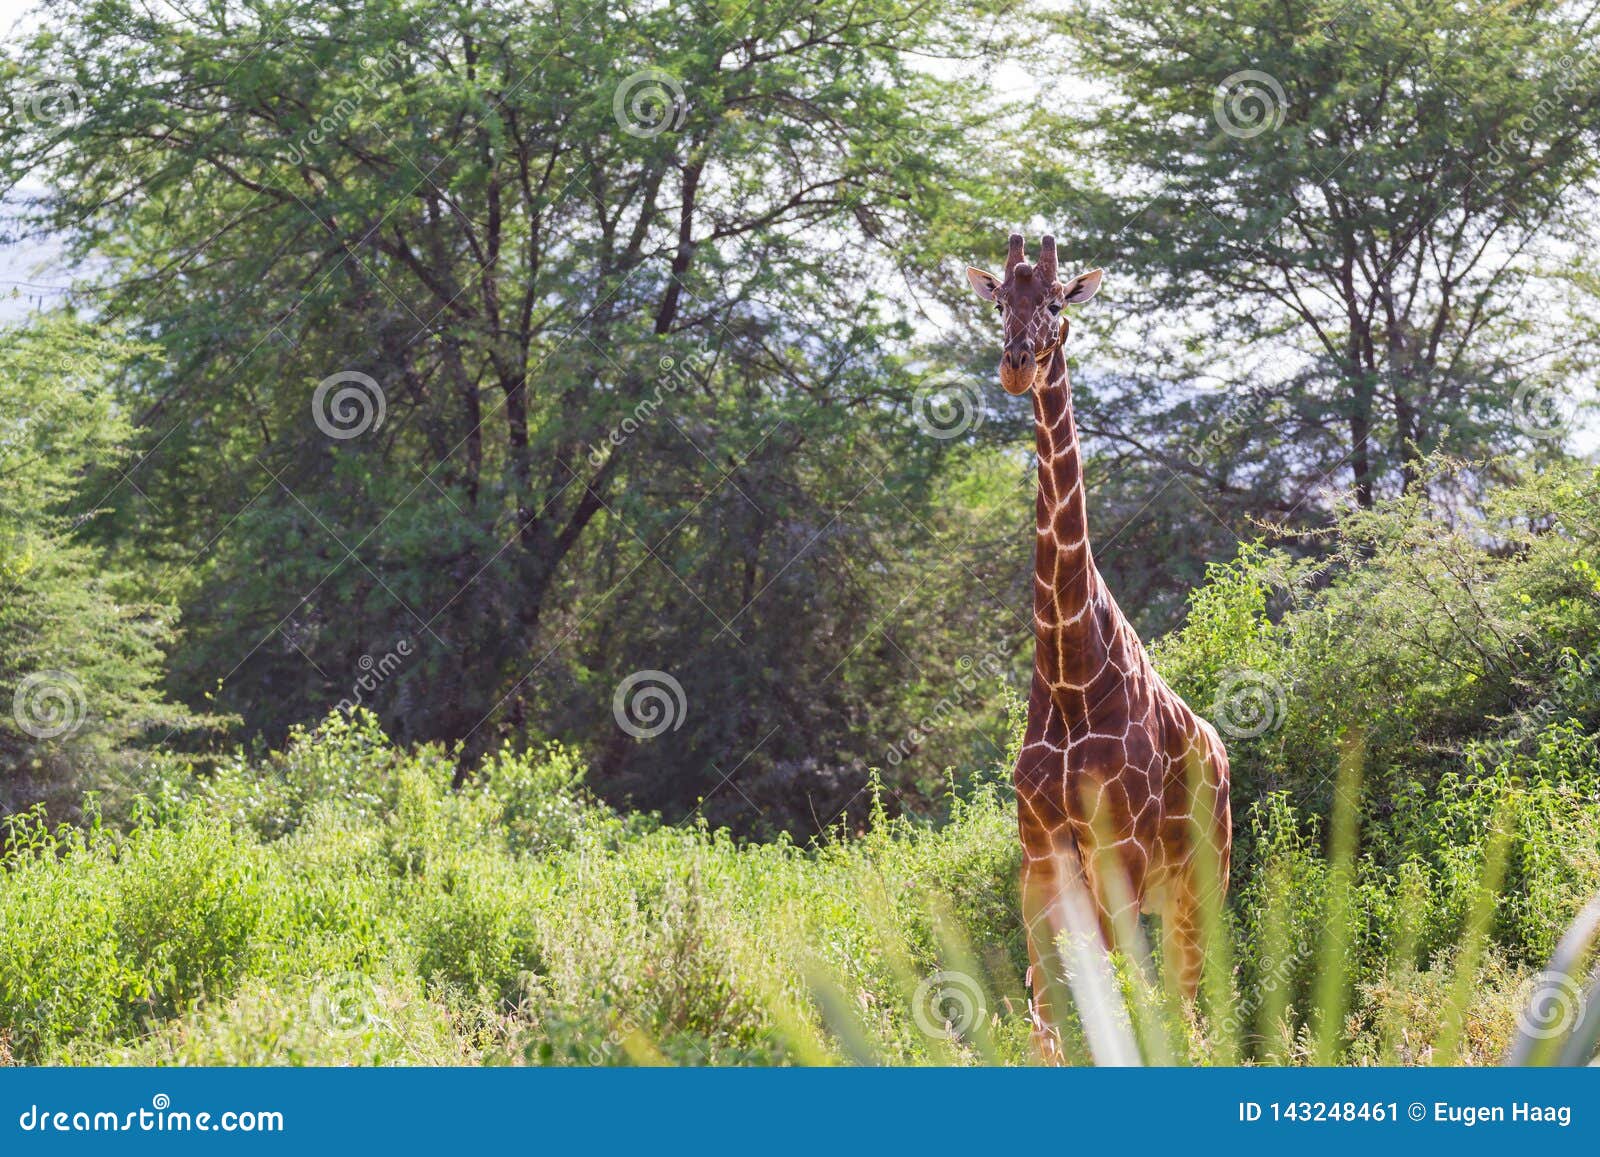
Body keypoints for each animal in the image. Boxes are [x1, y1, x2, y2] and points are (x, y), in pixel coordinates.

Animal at [965, 233, 1232, 1056]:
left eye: (1056, 302)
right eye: (999, 300)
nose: (1017, 364)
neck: (1068, 671)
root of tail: (1222, 753)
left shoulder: (1121, 853)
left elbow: (1121, 1013)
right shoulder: (1041, 856)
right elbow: (1047, 1019)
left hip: (1201, 884)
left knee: (1194, 1008)